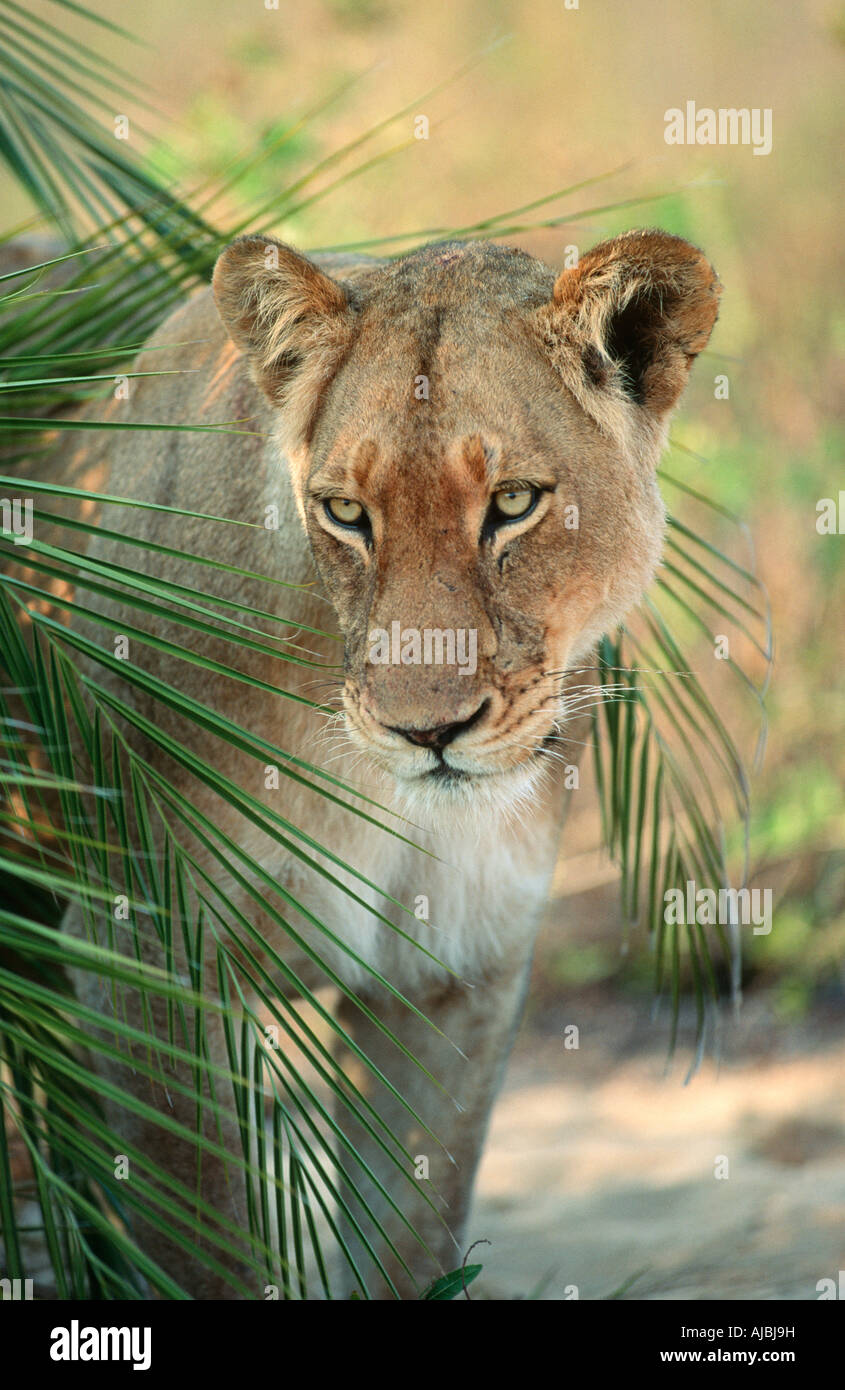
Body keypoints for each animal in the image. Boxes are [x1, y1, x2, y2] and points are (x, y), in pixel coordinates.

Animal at [45, 228, 719, 1298]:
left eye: (513, 503)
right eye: (345, 513)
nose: (426, 731)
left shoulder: (455, 968)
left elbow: (408, 1237)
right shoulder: (143, 942)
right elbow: (204, 1247)